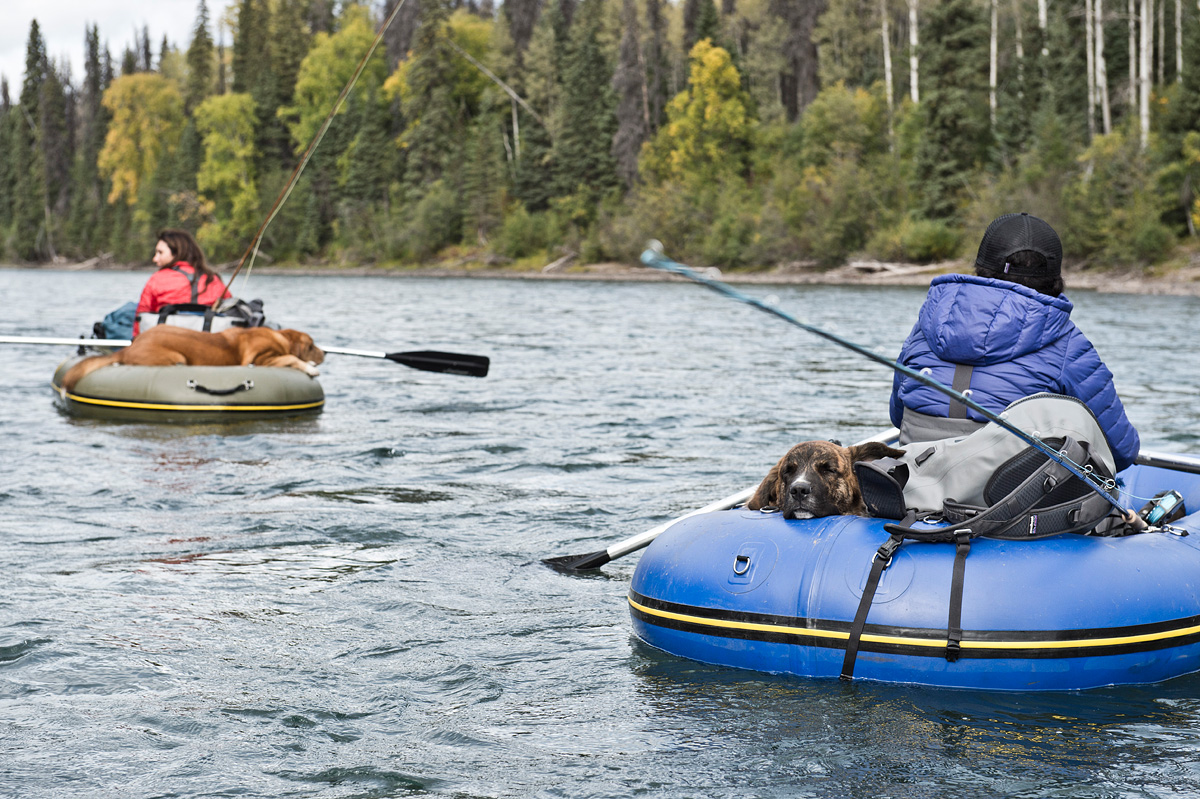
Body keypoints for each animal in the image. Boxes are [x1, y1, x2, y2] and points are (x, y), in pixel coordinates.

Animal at [60, 321, 324, 388]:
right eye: (312, 344)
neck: (281, 338)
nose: (324, 354)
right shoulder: (261, 359)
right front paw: (310, 367)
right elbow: (291, 358)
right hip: (176, 357)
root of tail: (129, 347)